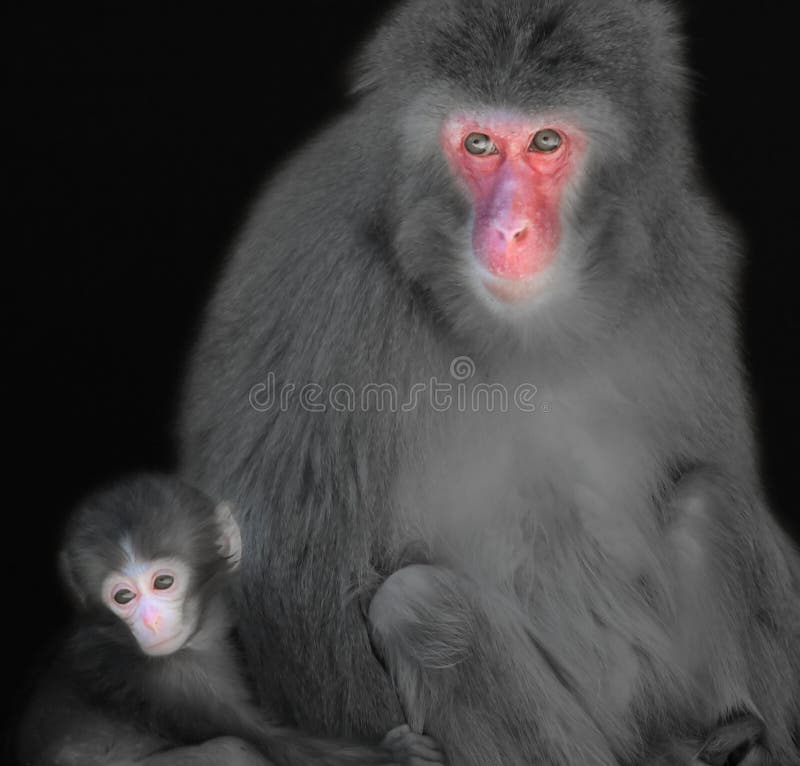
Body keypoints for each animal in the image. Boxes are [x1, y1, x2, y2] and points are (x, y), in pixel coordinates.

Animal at [40, 474, 444, 766]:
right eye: (123, 597)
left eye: (163, 582)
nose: (151, 622)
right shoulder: (171, 681)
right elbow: (273, 743)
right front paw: (396, 754)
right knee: (230, 748)